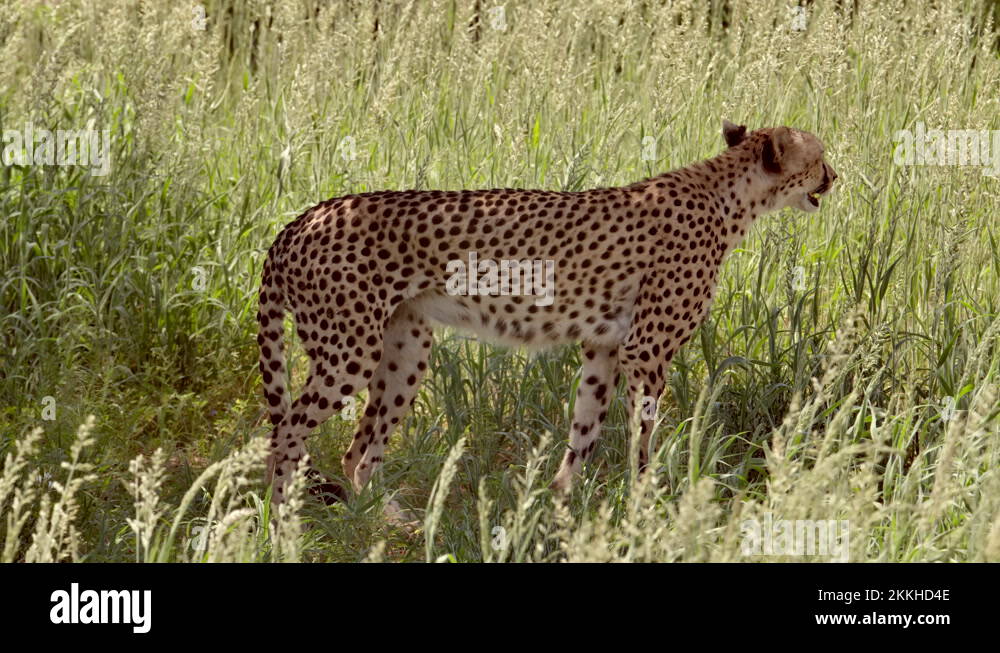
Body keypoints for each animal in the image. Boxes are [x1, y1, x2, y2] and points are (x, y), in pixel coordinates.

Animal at [256, 119, 837, 506]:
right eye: (819, 157)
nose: (836, 177)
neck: (729, 195)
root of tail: (303, 217)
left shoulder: (605, 348)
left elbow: (584, 430)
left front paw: (557, 503)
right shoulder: (646, 351)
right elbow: (642, 437)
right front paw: (645, 503)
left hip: (405, 349)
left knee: (357, 449)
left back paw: (378, 516)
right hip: (349, 352)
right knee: (285, 433)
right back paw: (283, 519)